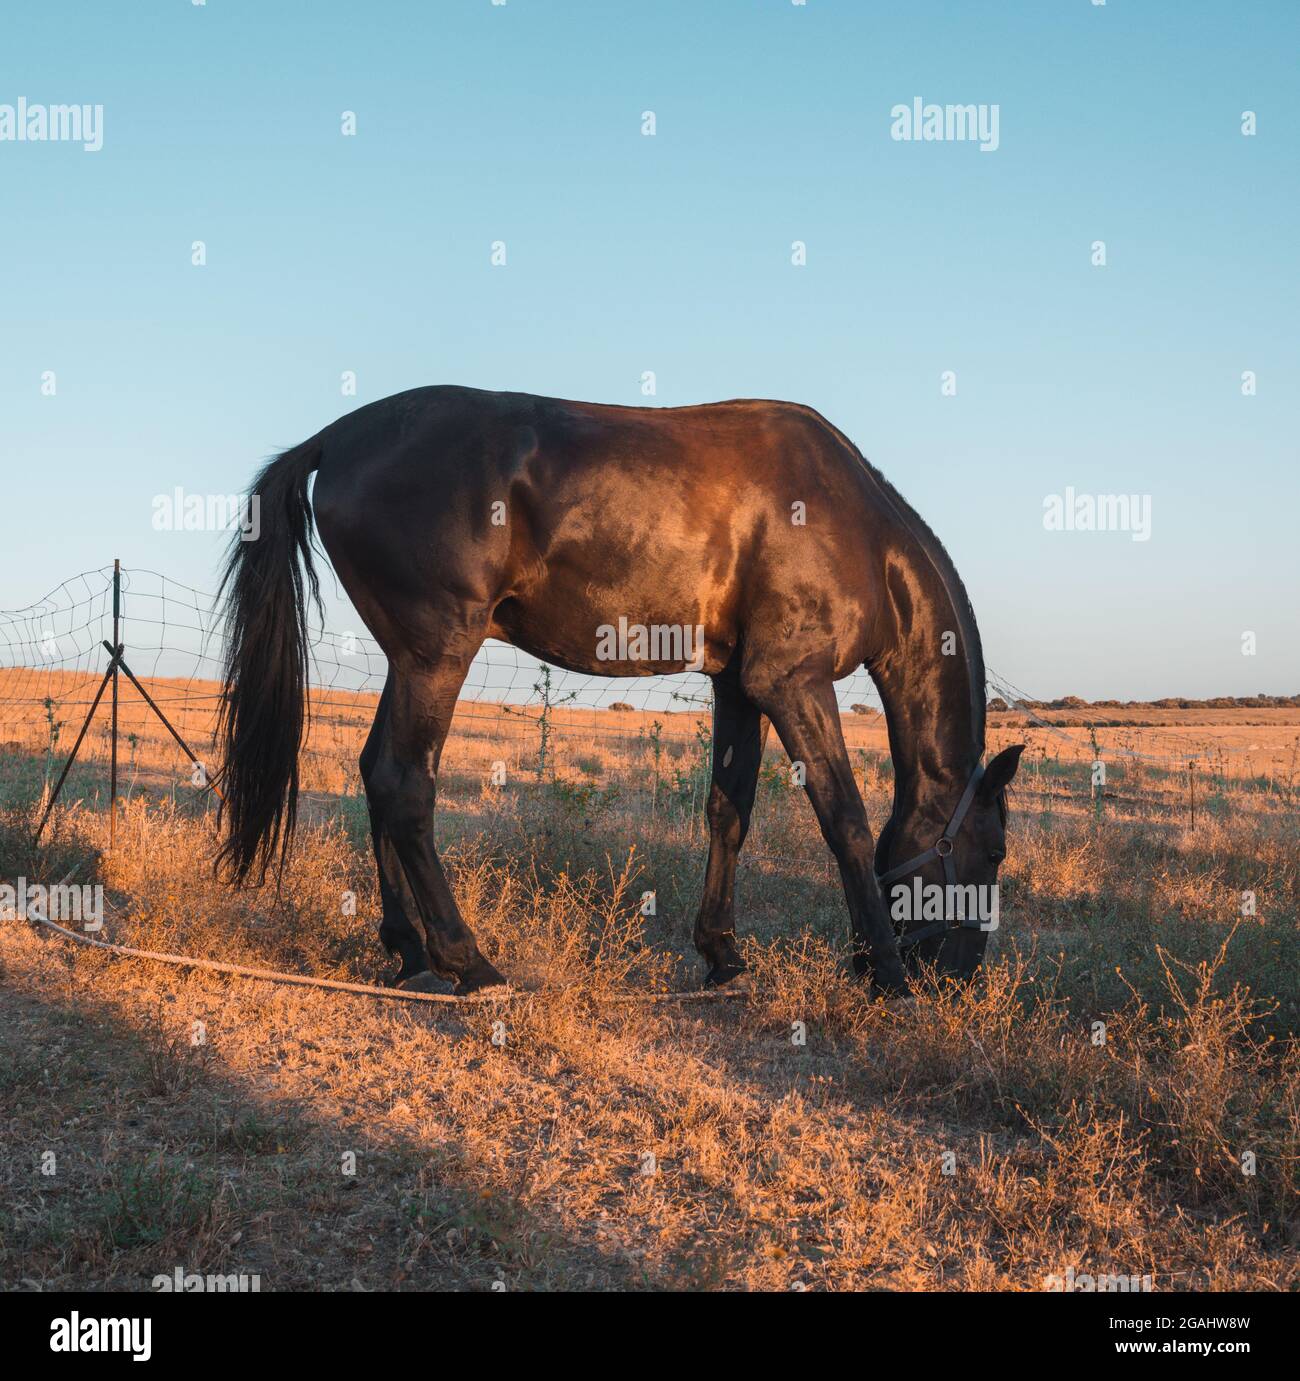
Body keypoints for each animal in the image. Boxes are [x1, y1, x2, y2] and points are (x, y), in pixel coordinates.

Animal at [216, 386, 1023, 995]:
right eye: (994, 852)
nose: (960, 977)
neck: (856, 530)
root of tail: (336, 438)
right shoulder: (794, 681)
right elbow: (845, 818)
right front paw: (884, 968)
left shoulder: (740, 686)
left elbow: (729, 812)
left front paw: (723, 955)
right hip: (435, 655)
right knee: (404, 784)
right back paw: (469, 963)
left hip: (408, 660)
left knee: (374, 777)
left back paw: (408, 950)